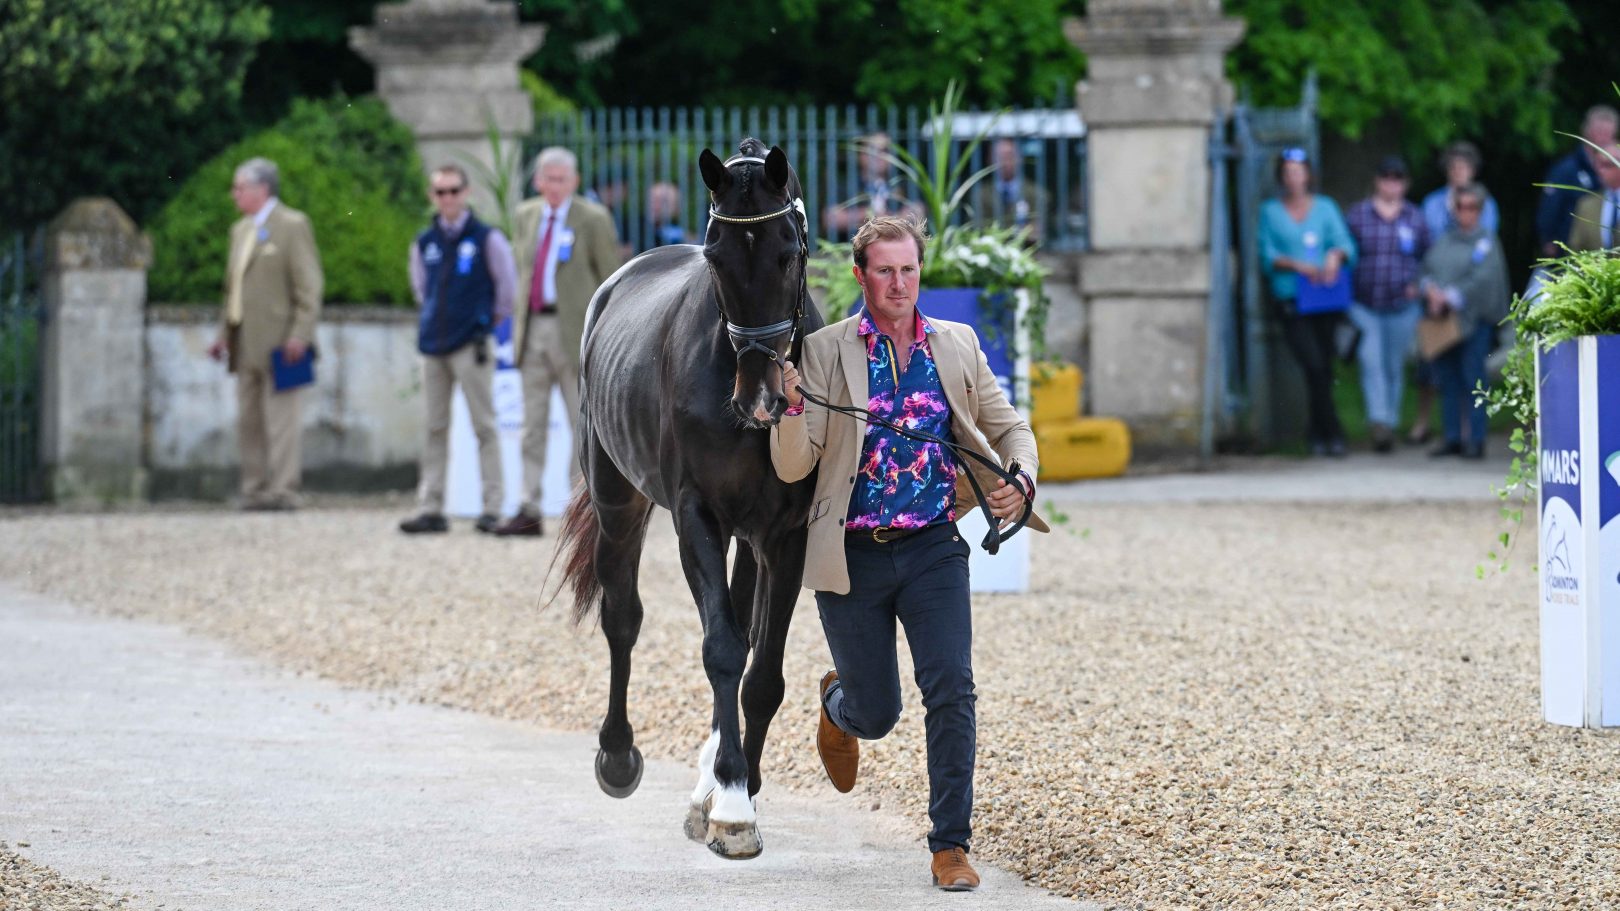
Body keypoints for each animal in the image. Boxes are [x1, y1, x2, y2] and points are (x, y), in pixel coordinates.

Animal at [554, 138, 824, 859]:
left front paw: (734, 790)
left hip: (748, 537)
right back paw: (619, 756)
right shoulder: (696, 516)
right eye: (716, 257)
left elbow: (763, 670)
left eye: (788, 250)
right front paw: (731, 799)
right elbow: (721, 649)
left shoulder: (785, 533)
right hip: (620, 504)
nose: (760, 397)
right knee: (623, 617)